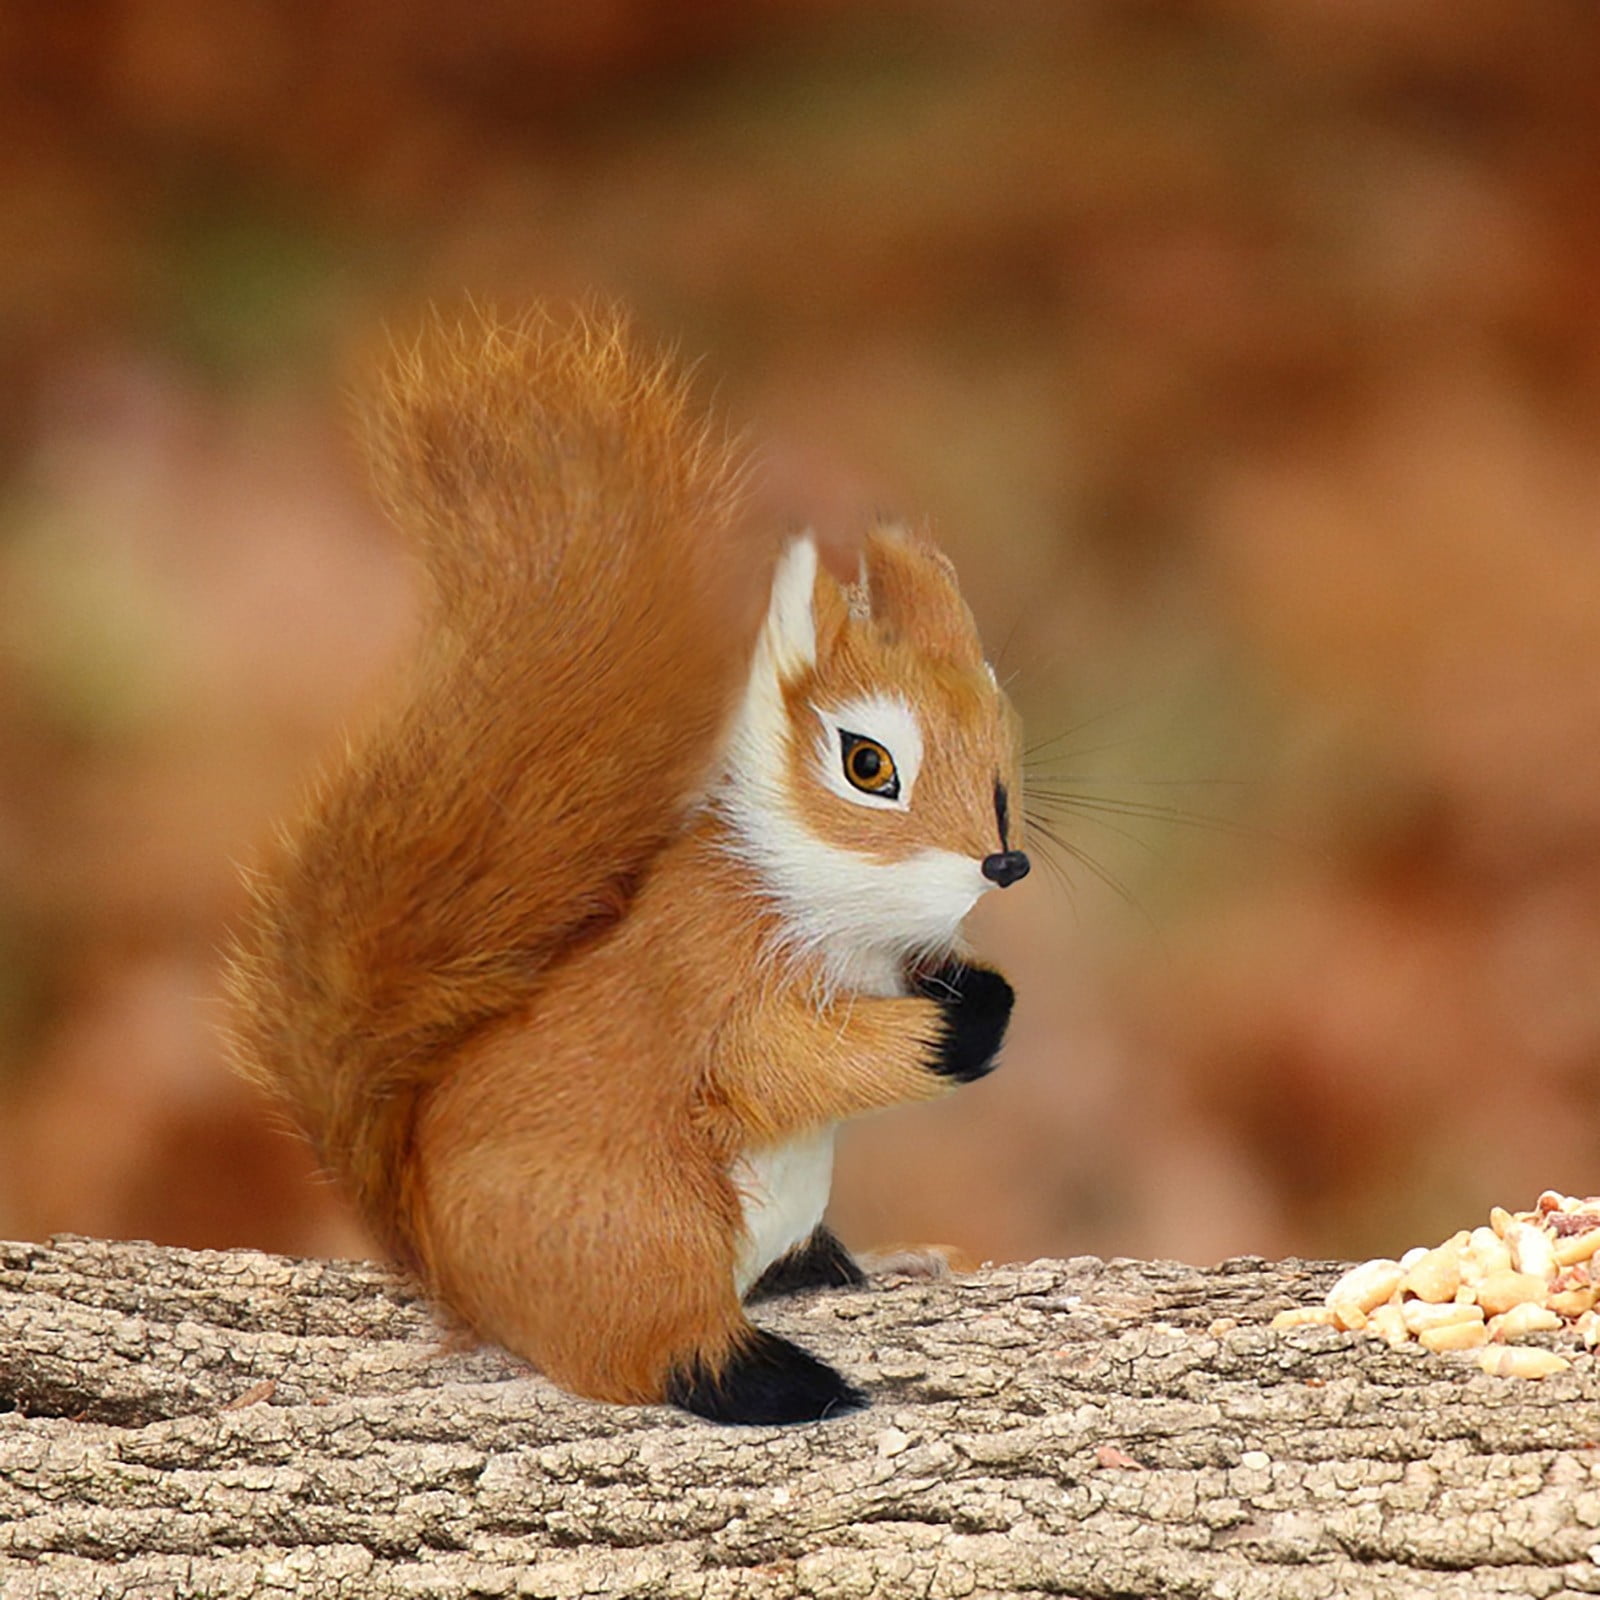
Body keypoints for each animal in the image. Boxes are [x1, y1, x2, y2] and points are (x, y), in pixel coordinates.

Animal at [227, 307, 1031, 1425]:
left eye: (1002, 776)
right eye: (868, 765)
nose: (1002, 864)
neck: (825, 909)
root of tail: (451, 1270)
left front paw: (968, 978)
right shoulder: (712, 977)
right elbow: (780, 1065)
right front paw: (966, 1020)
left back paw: (841, 1265)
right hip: (638, 1231)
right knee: (652, 1346)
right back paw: (776, 1379)